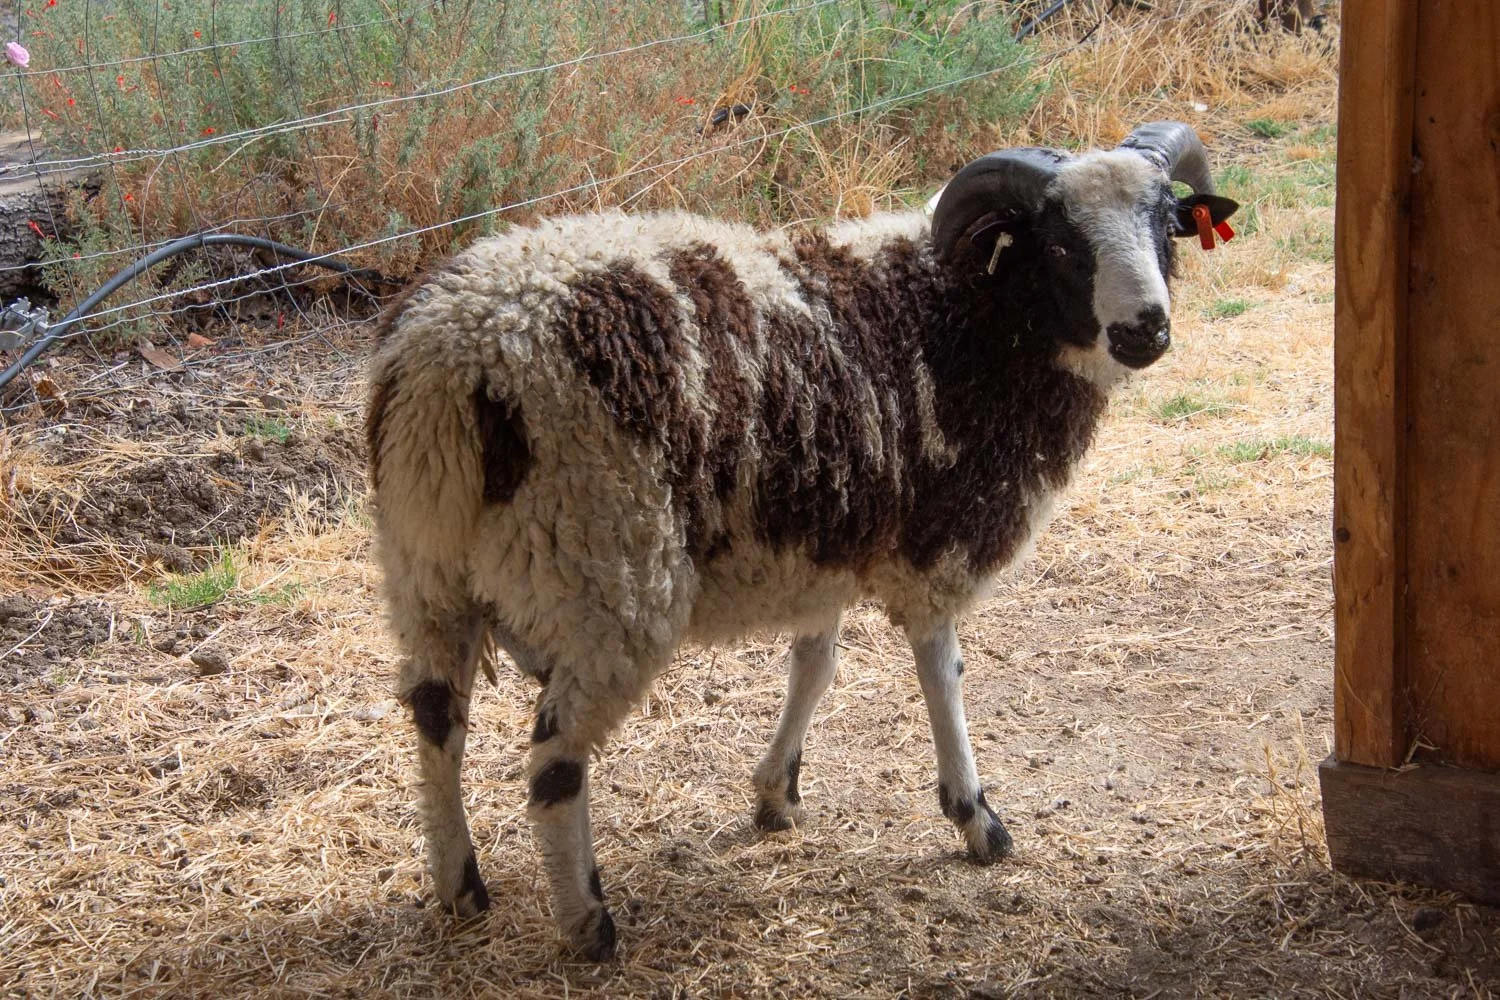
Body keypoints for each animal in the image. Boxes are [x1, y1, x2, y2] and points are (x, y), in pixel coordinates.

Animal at [365, 121, 1238, 960]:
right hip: (608, 569)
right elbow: (942, 674)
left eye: (1165, 226)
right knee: (553, 762)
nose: (1146, 330)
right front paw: (976, 817)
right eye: (1060, 245)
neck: (964, 312)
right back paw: (589, 925)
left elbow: (815, 667)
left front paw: (775, 795)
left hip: (426, 571)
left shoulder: (827, 541)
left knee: (436, 719)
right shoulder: (937, 546)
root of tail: (457, 358)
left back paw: (460, 889)